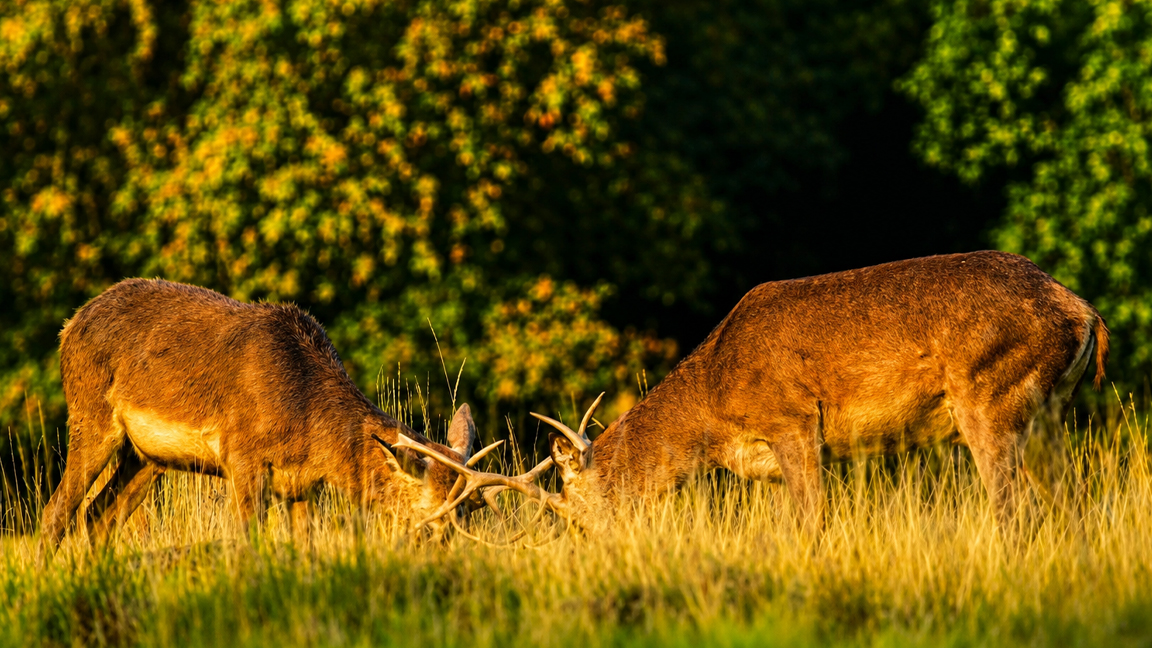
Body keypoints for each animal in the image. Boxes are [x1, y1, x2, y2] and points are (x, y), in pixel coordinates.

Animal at [39, 278, 497, 550]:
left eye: (469, 513)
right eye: (432, 518)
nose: (453, 556)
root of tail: (67, 329)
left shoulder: (301, 485)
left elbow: (304, 547)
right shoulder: (241, 455)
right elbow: (248, 539)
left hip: (146, 457)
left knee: (98, 516)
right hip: (90, 417)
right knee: (56, 511)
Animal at [401, 251, 1110, 538]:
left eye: (579, 504)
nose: (592, 544)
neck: (713, 406)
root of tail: (1083, 313)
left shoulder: (795, 419)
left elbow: (813, 520)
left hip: (989, 396)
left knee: (1014, 506)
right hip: (1049, 411)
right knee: (1068, 499)